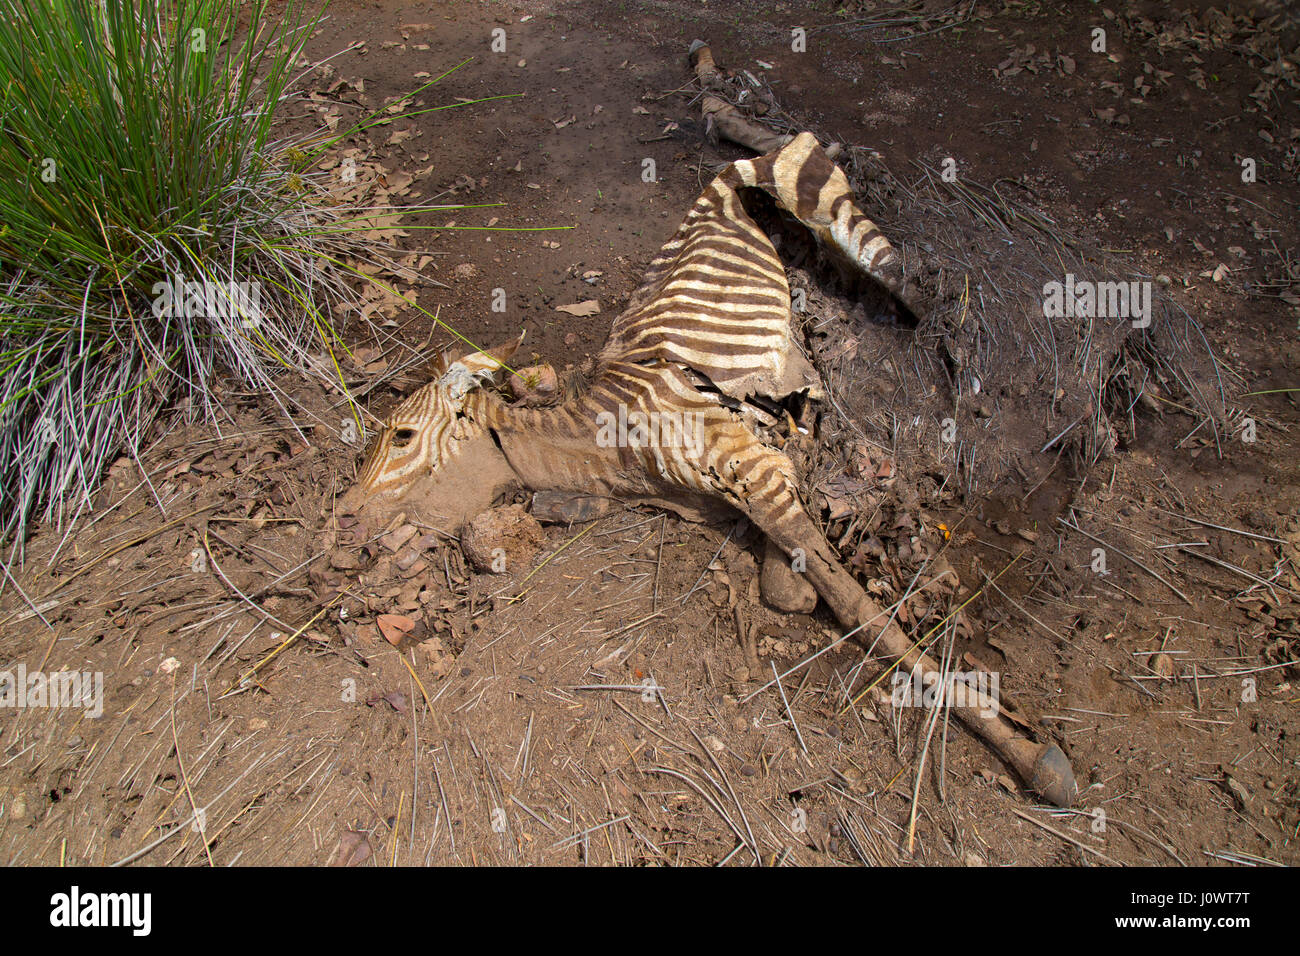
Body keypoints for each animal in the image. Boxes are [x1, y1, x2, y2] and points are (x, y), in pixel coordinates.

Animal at [340, 132, 1077, 807]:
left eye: (402, 436)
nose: (344, 517)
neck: (607, 449)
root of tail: (717, 183)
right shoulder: (739, 483)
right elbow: (796, 582)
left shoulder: (749, 468)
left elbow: (857, 607)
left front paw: (1035, 759)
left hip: (817, 199)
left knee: (879, 254)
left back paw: (936, 325)